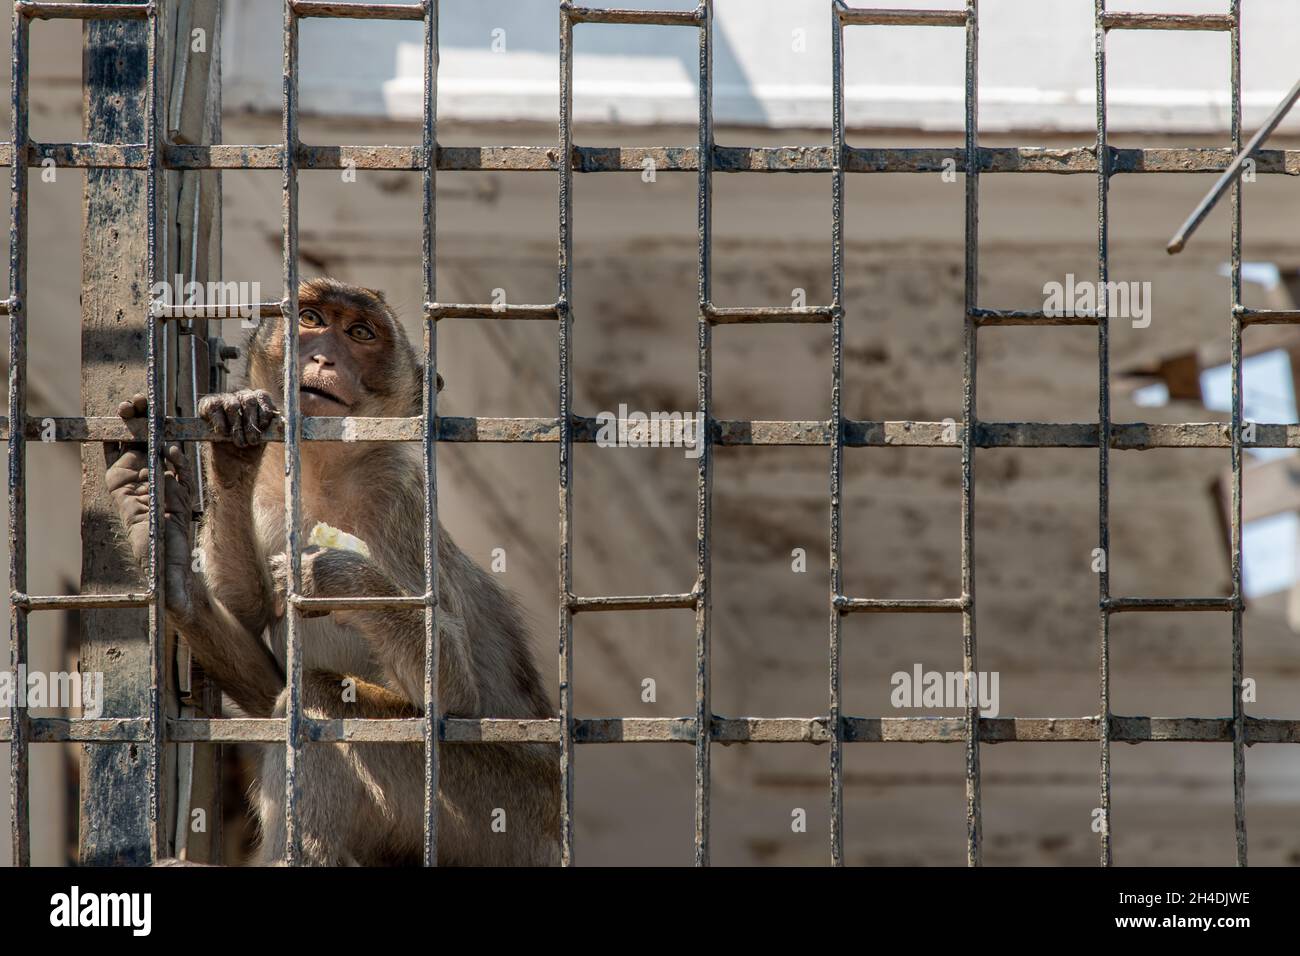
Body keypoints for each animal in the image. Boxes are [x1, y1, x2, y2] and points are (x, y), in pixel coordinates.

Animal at [104, 277, 560, 866]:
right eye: (313, 319)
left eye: (361, 333)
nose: (323, 358)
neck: (323, 473)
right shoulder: (272, 498)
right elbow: (249, 613)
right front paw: (222, 457)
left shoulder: (399, 500)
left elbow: (454, 692)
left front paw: (330, 576)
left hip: (499, 803)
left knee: (319, 698)